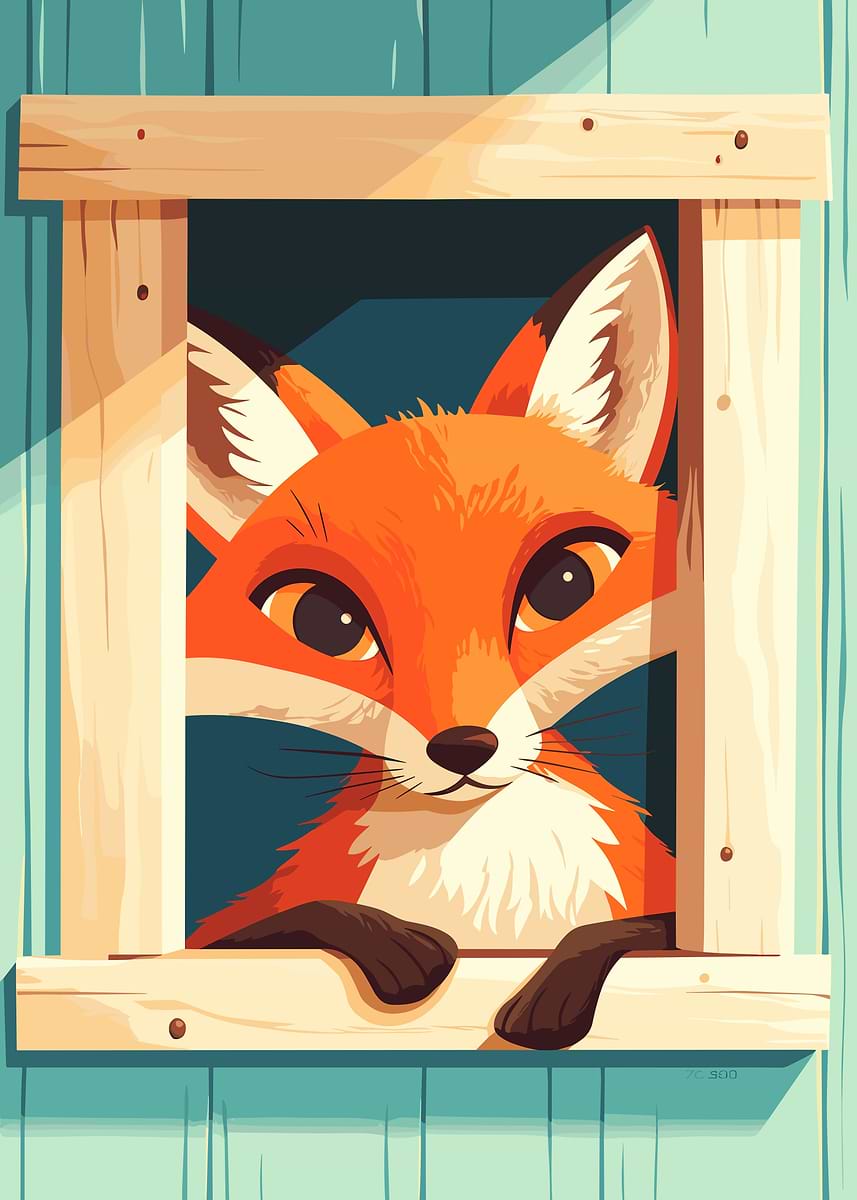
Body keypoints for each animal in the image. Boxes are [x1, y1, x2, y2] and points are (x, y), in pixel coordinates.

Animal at [184, 228, 679, 1049]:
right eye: (323, 621)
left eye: (565, 582)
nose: (463, 747)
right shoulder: (226, 935)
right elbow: (301, 917)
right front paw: (399, 949)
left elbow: (631, 931)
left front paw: (550, 999)